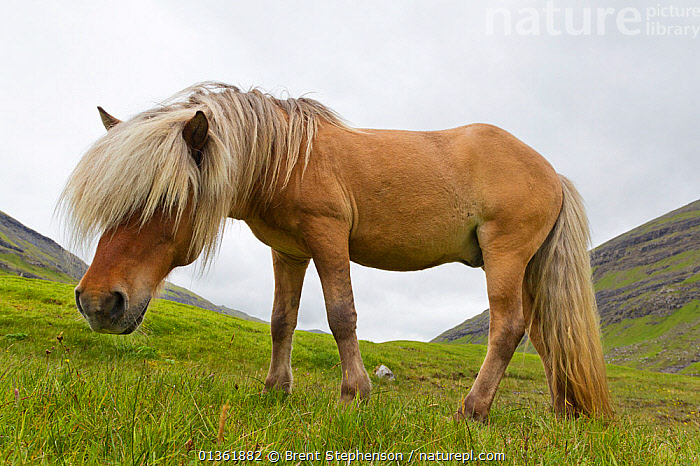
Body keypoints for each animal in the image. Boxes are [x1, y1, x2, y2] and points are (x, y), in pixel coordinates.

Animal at [59, 82, 612, 421]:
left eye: (166, 201)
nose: (98, 303)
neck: (284, 158)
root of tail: (552, 173)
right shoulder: (288, 253)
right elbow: (282, 320)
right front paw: (275, 390)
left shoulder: (328, 238)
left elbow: (340, 314)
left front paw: (353, 395)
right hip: (527, 268)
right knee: (544, 333)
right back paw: (563, 413)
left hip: (505, 257)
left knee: (508, 328)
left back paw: (472, 410)